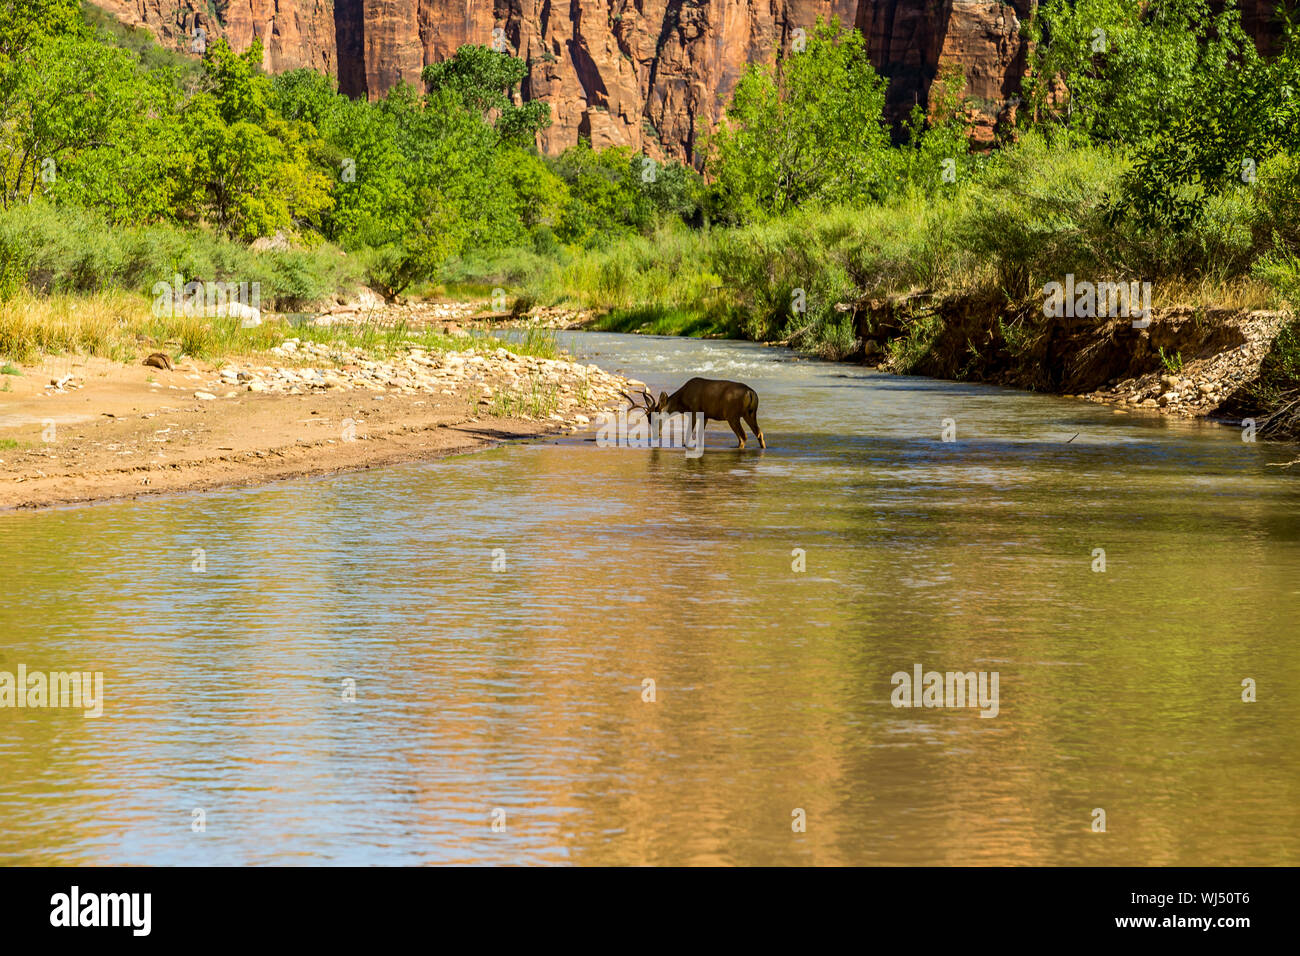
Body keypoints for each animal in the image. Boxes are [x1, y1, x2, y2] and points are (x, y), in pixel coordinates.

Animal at [621, 377, 766, 449]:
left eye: (657, 419)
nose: (656, 436)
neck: (683, 402)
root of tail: (750, 392)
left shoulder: (695, 410)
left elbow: (690, 431)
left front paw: (685, 445)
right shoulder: (705, 415)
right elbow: (700, 434)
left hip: (732, 415)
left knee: (743, 437)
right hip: (750, 414)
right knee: (759, 433)